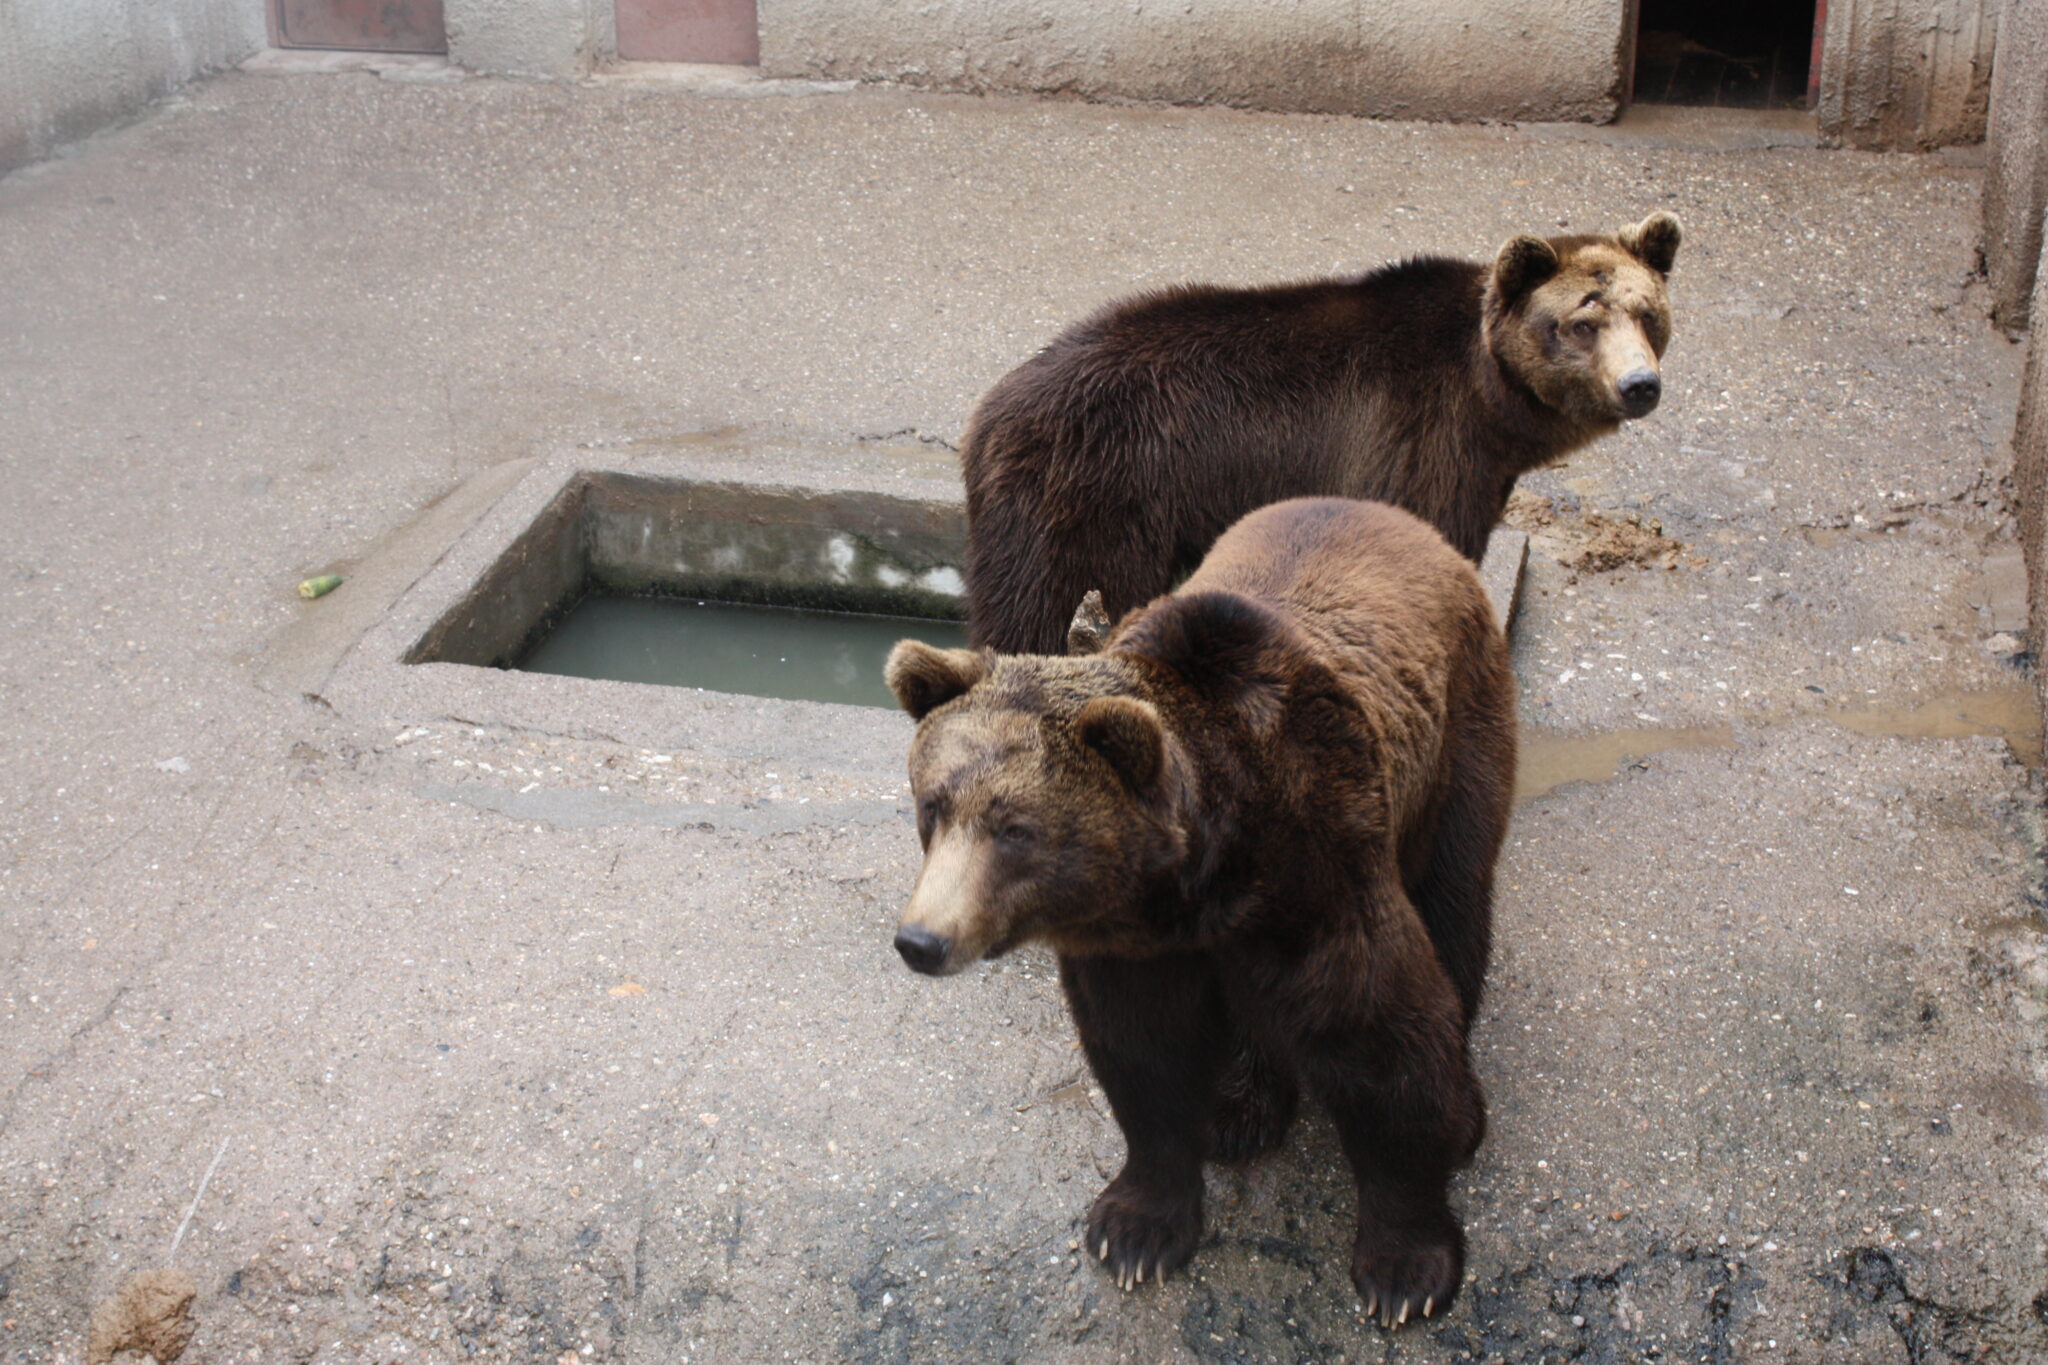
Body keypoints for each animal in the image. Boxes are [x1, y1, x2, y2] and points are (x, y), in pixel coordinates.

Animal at [884, 498, 1516, 1327]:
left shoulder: (1322, 868)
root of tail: (1404, 521)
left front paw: (1406, 1267)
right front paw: (1135, 1230)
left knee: (1455, 907)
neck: (1203, 878)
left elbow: (1383, 1035)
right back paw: (1240, 1109)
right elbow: (1143, 1051)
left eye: (1015, 828)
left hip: (1457, 743)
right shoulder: (1140, 947)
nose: (922, 939)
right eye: (933, 803)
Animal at [961, 213, 1681, 654]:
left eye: (1648, 312)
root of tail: (990, 408)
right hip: (1089, 490)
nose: (1640, 385)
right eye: (1583, 322)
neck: (1491, 404)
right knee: (1026, 610)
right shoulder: (1421, 442)